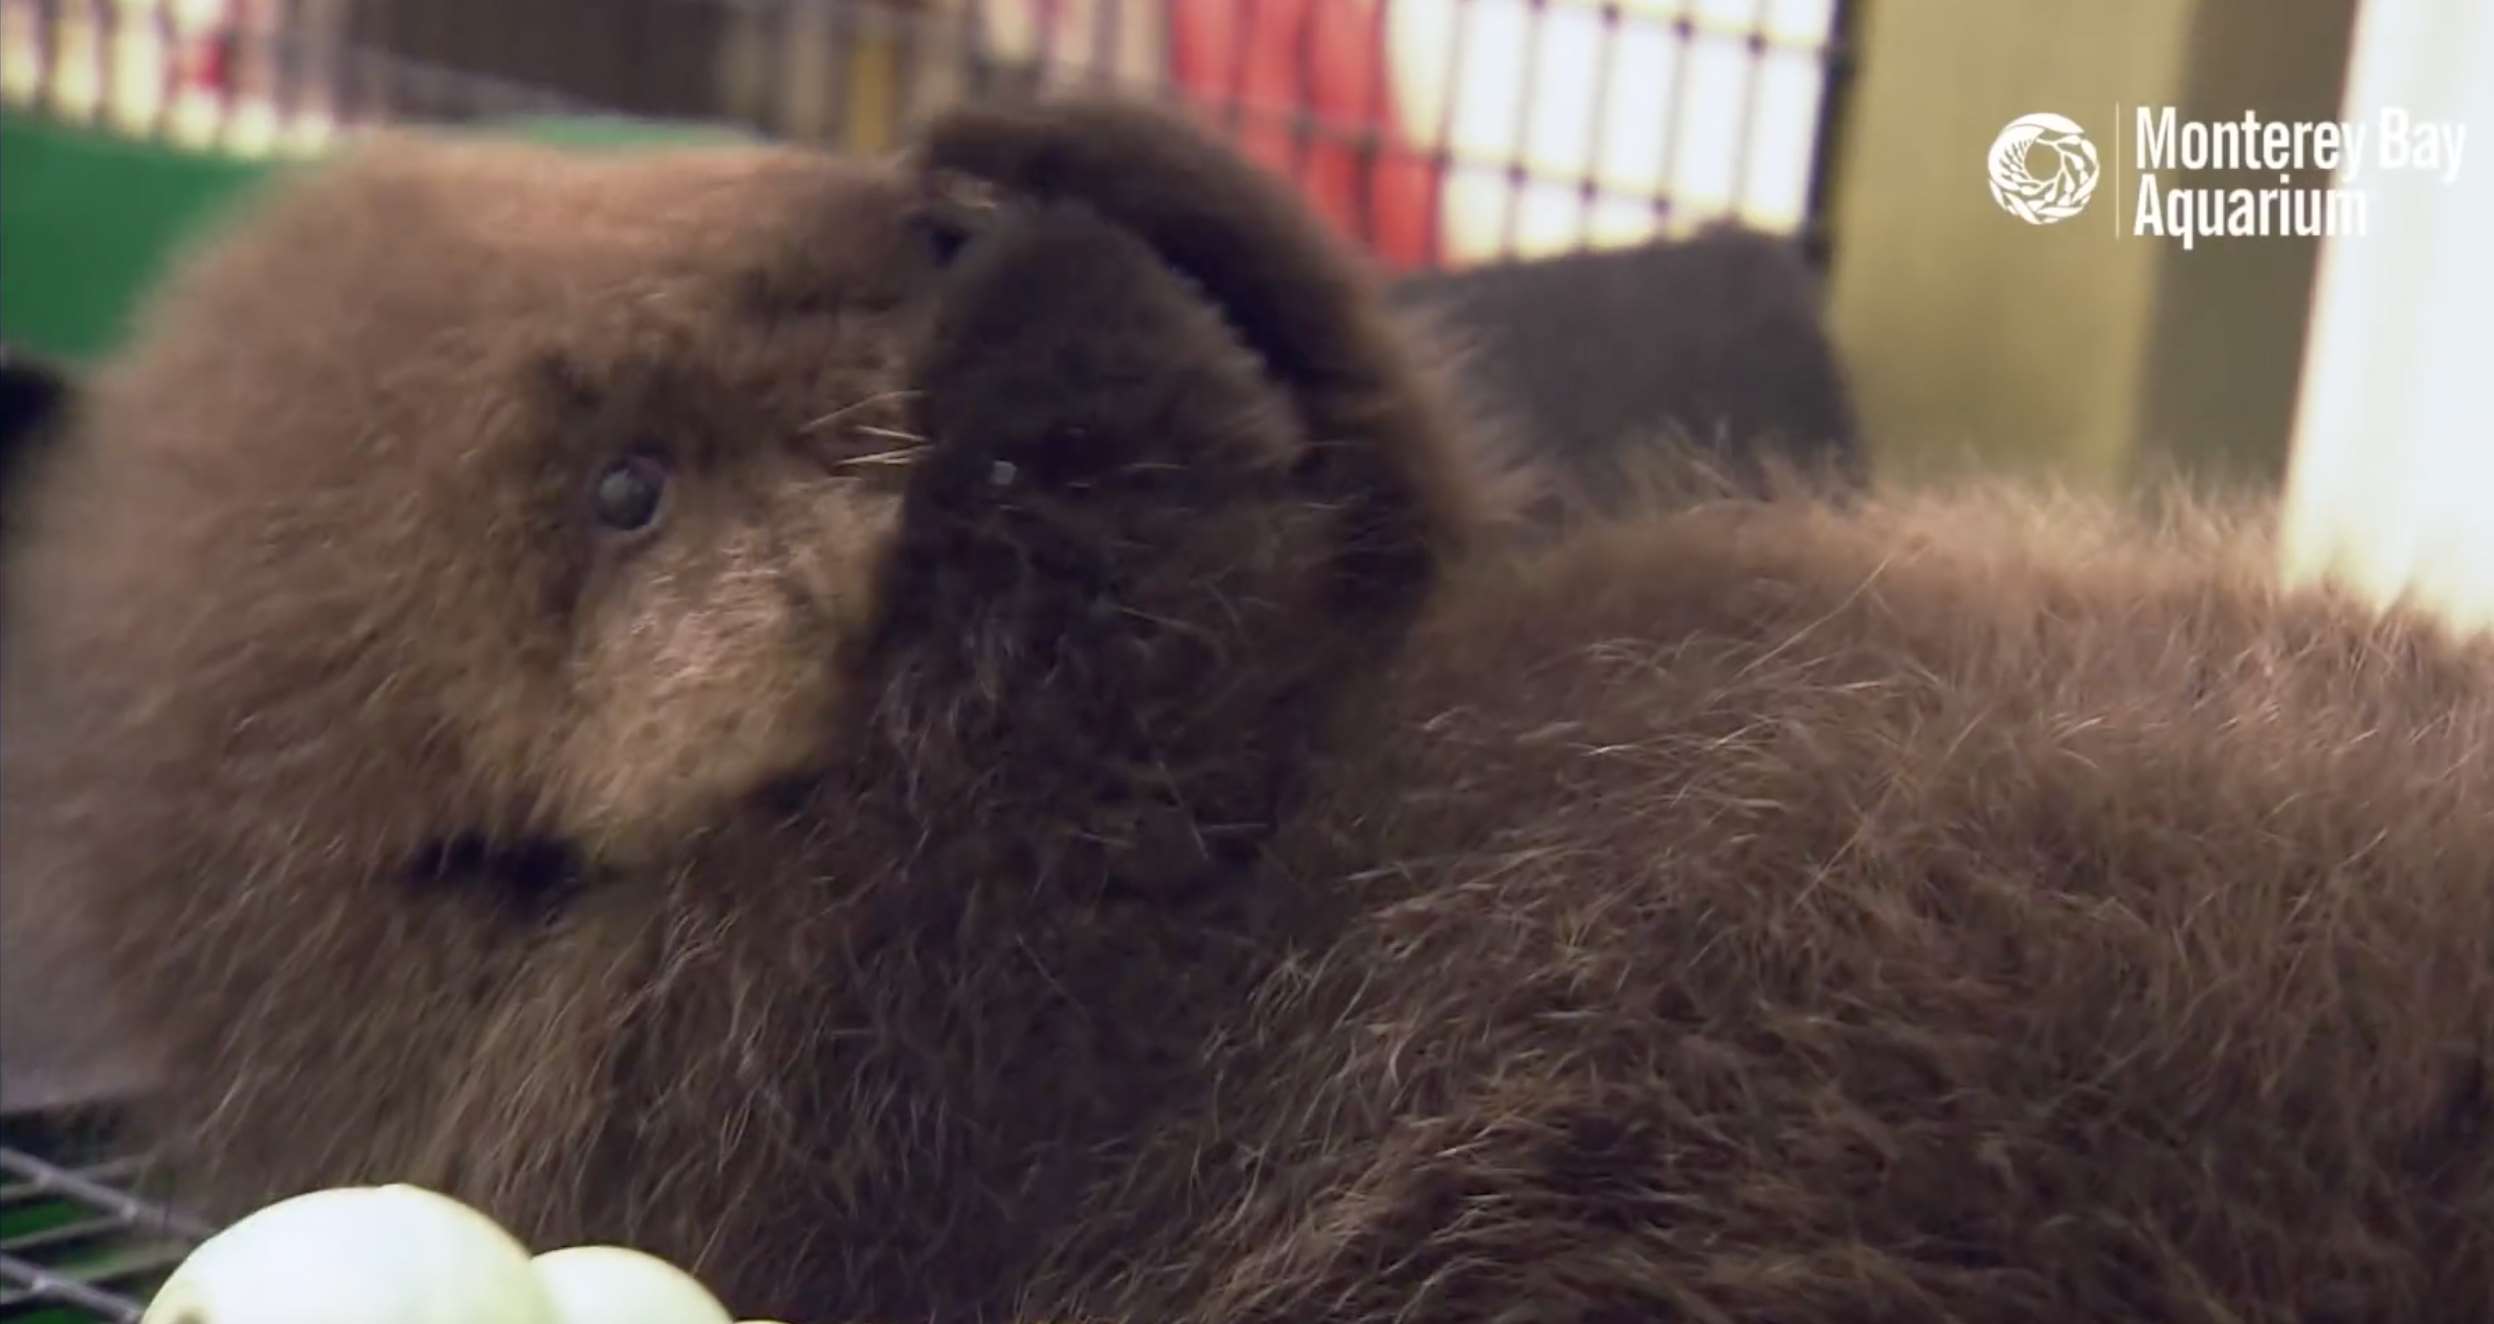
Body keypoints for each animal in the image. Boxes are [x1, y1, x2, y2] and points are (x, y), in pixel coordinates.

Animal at [7, 98, 2494, 1323]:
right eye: (627, 483)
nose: (905, 237)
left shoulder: (1395, 602)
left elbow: (1420, 499)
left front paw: (1080, 152)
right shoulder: (762, 1101)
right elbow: (1005, 919)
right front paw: (1052, 317)